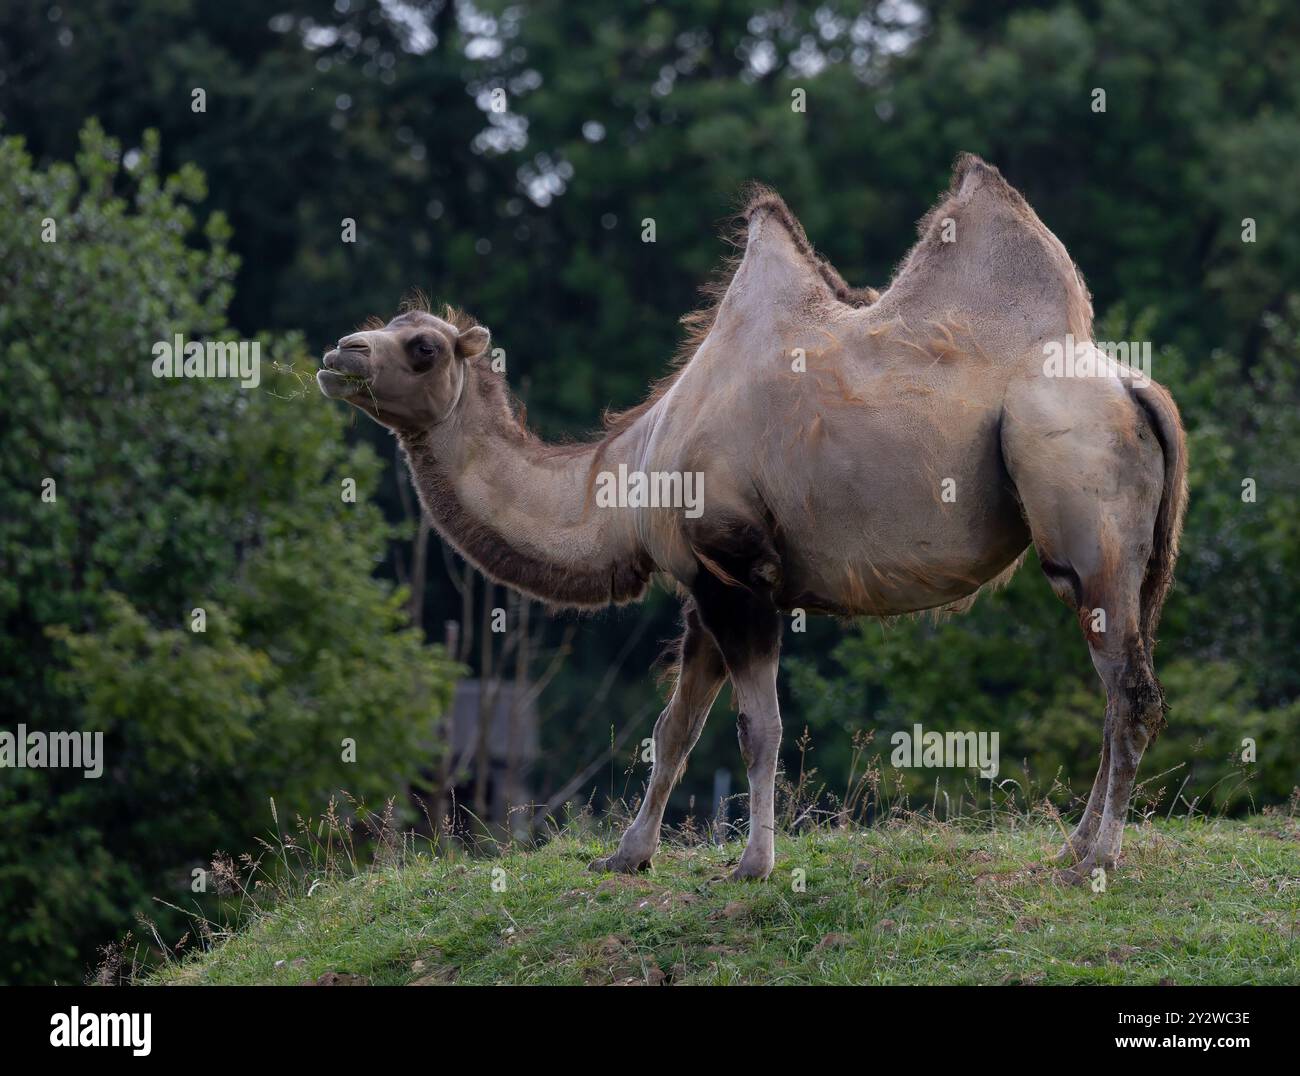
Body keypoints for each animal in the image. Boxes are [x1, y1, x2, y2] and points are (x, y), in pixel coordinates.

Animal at [317, 154, 1187, 884]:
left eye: (423, 347)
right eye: (390, 327)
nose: (338, 353)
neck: (627, 474)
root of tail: (1137, 388)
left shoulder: (740, 572)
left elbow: (754, 728)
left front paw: (753, 865)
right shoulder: (701, 587)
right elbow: (675, 727)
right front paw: (627, 856)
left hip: (1080, 509)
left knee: (1129, 689)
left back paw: (1094, 859)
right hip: (1142, 555)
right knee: (1123, 684)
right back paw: (1073, 845)